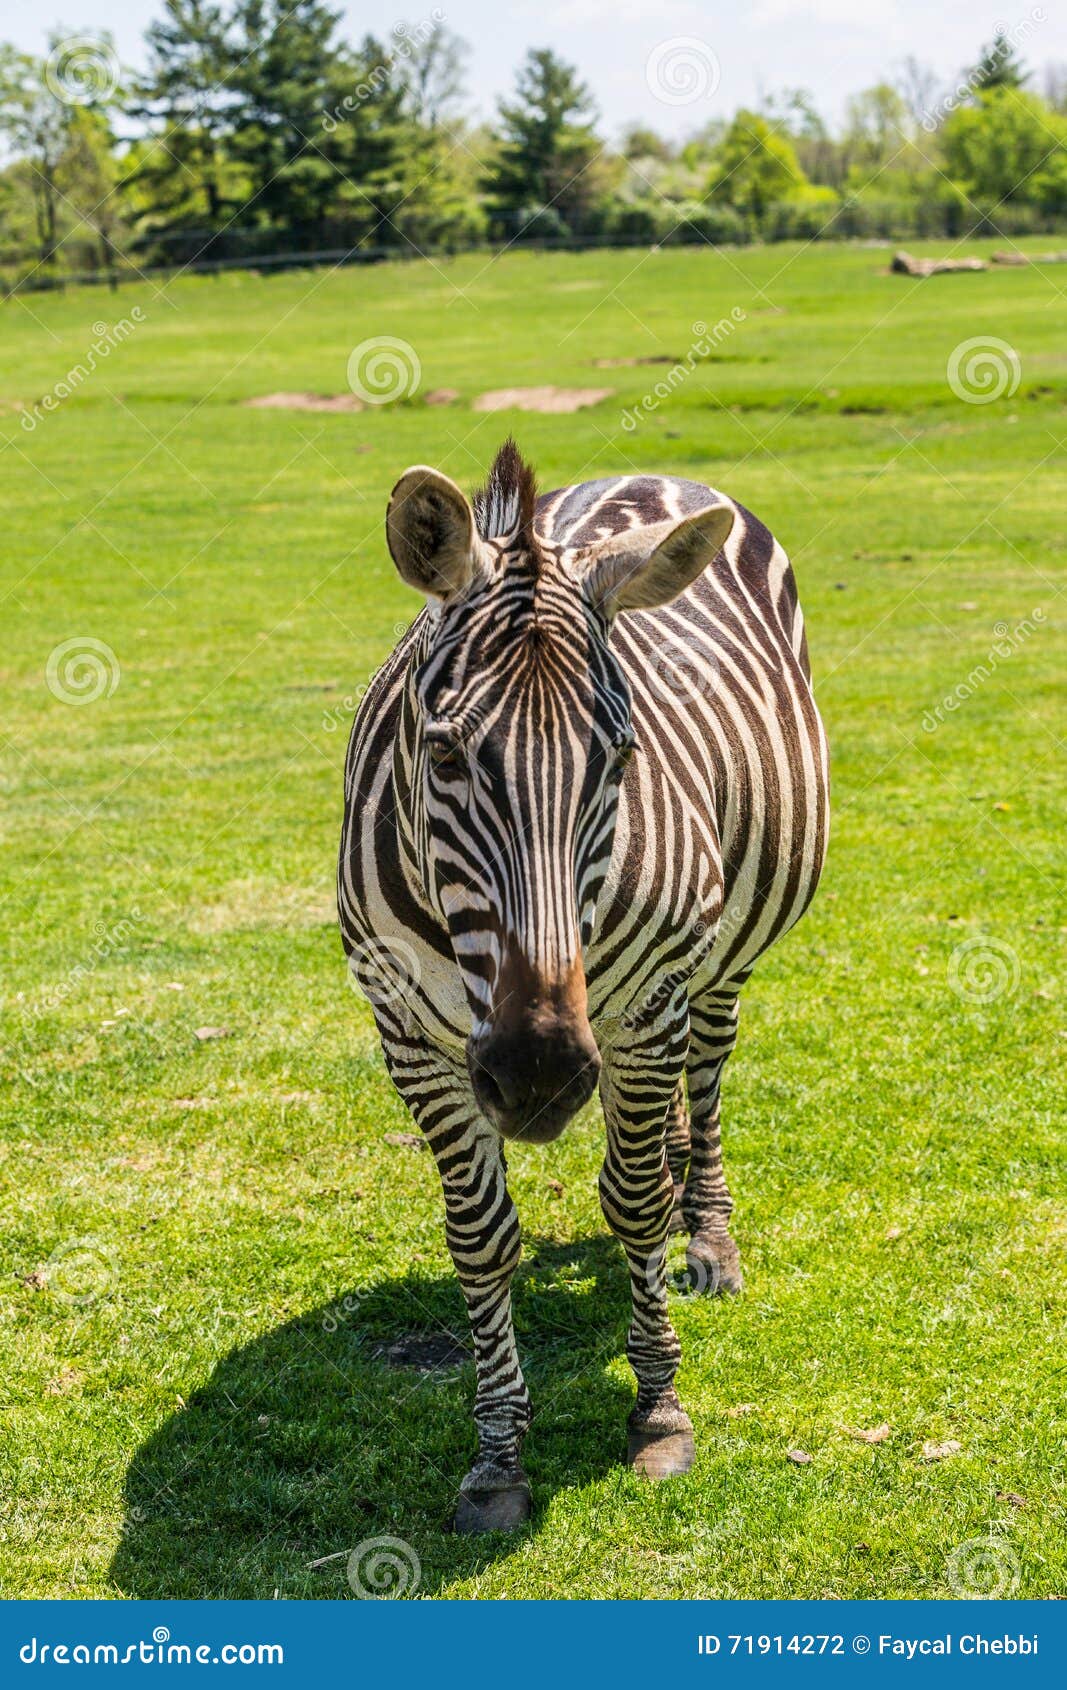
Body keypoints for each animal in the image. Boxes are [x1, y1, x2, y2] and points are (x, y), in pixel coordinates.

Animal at [338, 440, 828, 1533]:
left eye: (620, 757)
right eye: (442, 754)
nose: (536, 1075)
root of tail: (654, 479)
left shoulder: (644, 1006)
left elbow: (634, 1205)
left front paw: (657, 1411)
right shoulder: (409, 1034)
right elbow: (480, 1238)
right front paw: (496, 1456)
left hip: (711, 963)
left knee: (705, 1076)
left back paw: (708, 1233)